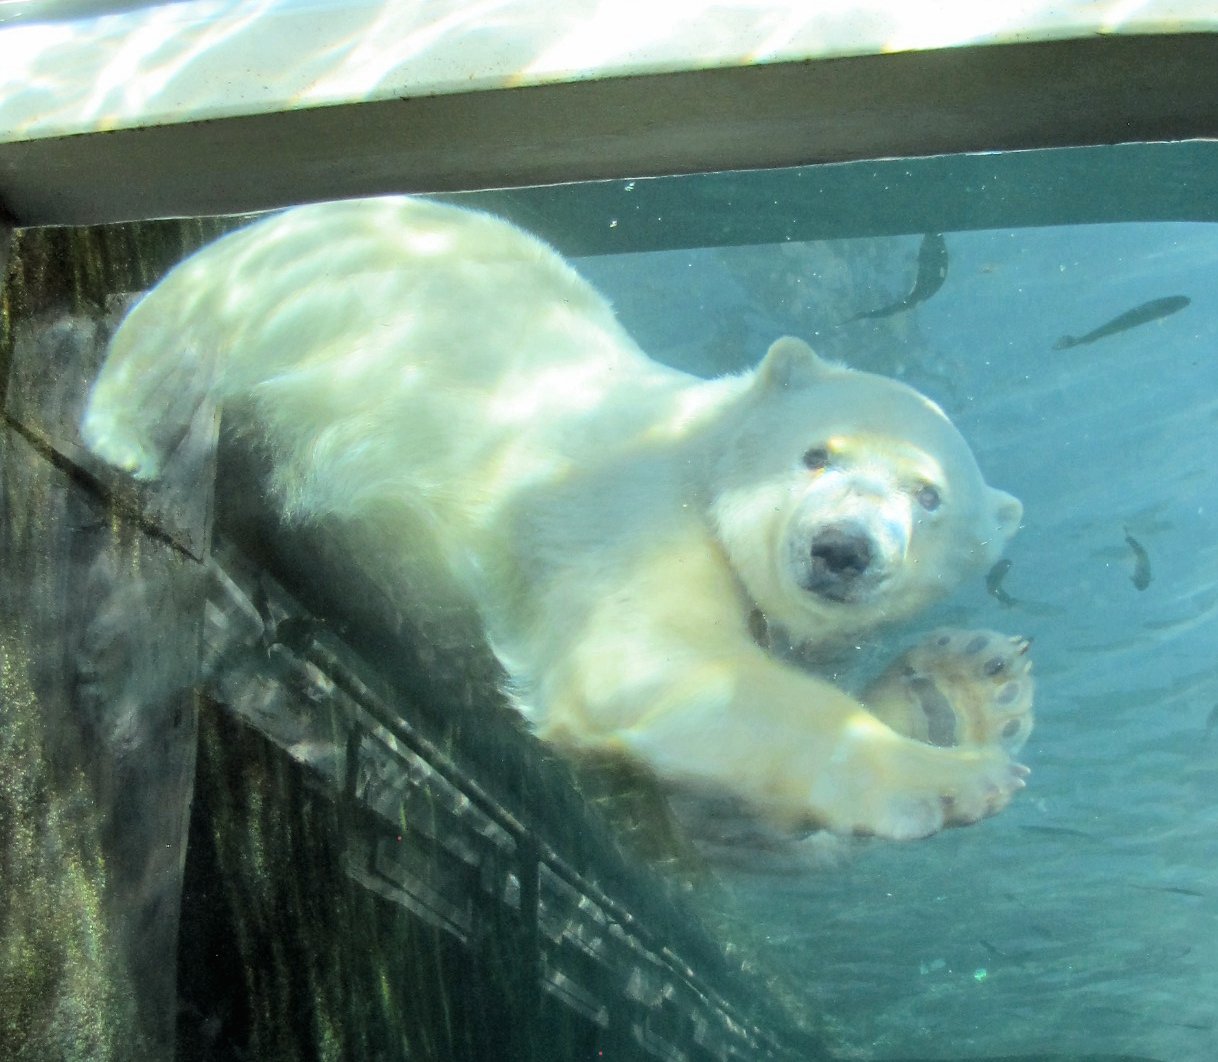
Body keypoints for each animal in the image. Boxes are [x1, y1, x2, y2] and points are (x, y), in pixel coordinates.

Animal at [82, 196, 1029, 841]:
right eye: (818, 456)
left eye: (928, 495)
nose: (842, 550)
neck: (700, 454)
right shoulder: (631, 519)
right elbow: (651, 669)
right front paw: (957, 777)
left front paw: (968, 694)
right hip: (270, 301)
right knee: (173, 337)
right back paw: (128, 435)